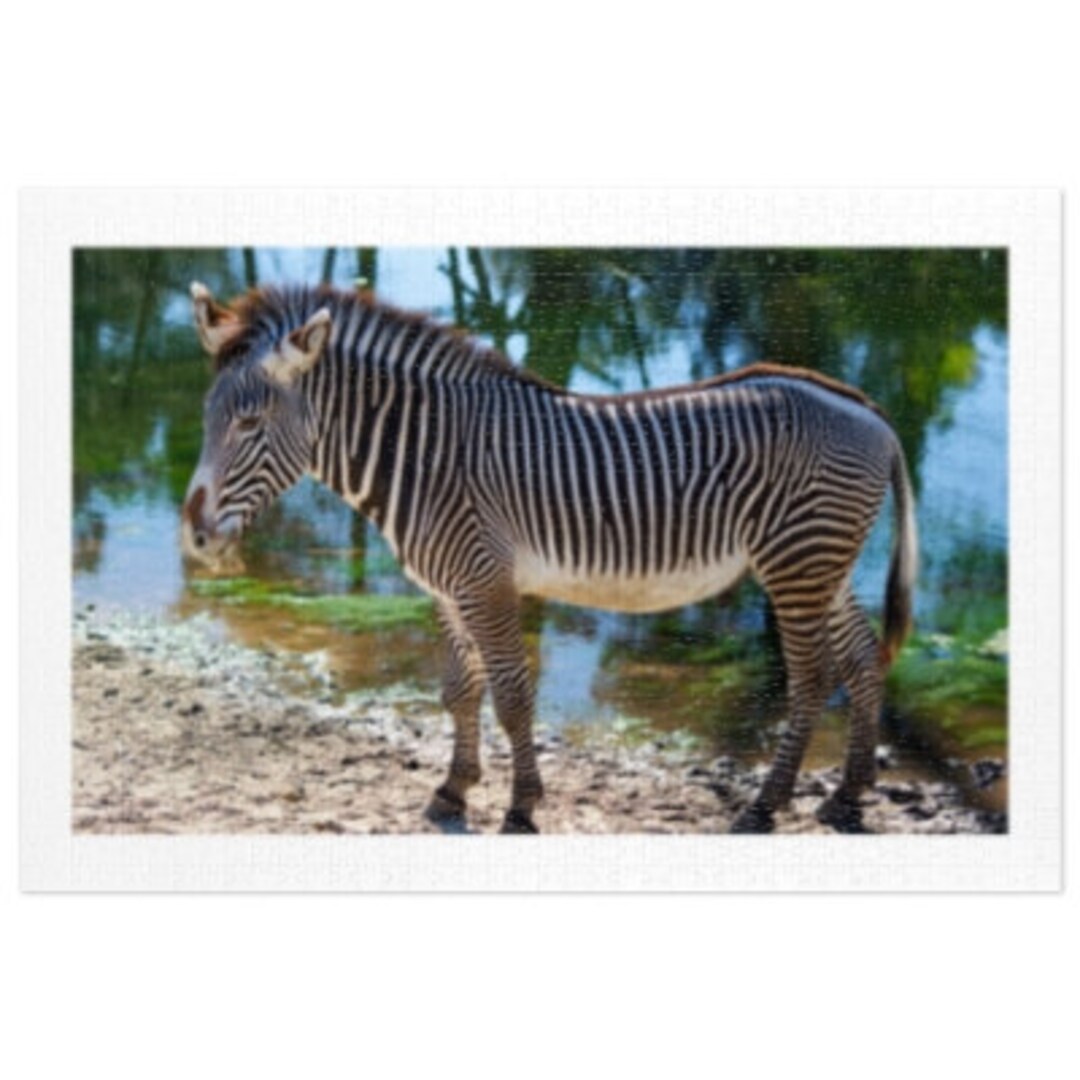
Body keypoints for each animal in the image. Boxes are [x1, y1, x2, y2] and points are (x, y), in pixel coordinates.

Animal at [181, 281, 918, 834]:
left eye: (249, 424)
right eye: (208, 418)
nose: (194, 537)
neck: (424, 456)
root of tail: (871, 413)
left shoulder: (485, 580)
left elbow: (510, 695)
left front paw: (520, 806)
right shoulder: (445, 589)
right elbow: (460, 689)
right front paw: (453, 789)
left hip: (797, 563)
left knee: (812, 679)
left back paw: (765, 806)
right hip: (825, 564)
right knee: (861, 655)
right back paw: (847, 795)